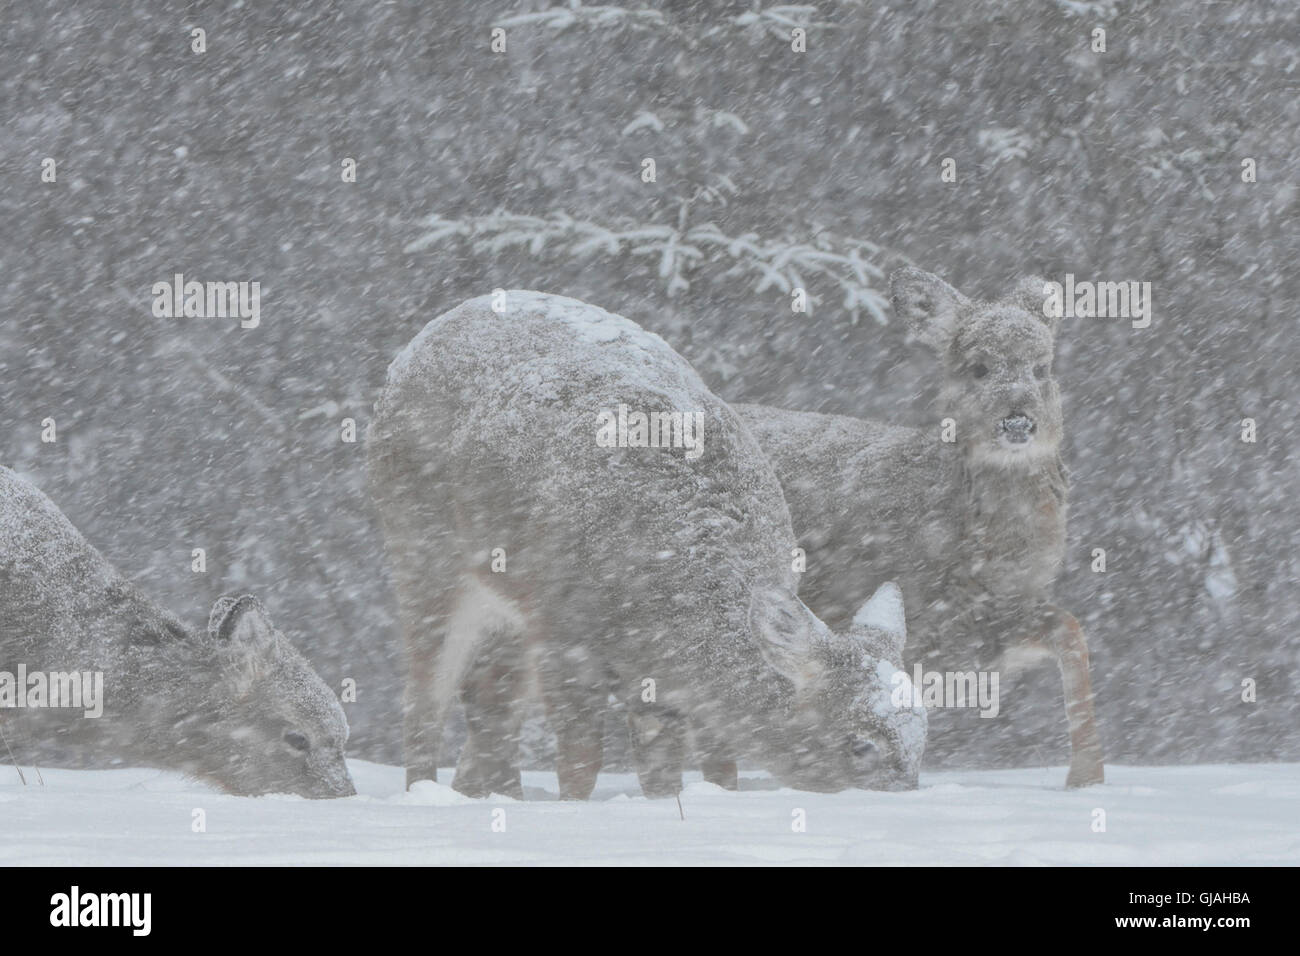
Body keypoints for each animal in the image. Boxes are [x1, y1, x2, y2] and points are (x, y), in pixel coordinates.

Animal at [367, 290, 926, 800]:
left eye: (922, 732)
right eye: (858, 742)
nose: (906, 793)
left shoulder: (657, 677)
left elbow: (689, 763)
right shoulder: (564, 633)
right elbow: (581, 759)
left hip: (506, 603)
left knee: (490, 700)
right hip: (424, 551)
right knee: (426, 695)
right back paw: (424, 792)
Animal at [734, 267, 1104, 788]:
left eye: (1042, 367)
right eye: (978, 367)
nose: (1017, 421)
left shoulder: (987, 628)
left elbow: (1071, 631)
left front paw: (1087, 776)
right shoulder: (925, 622)